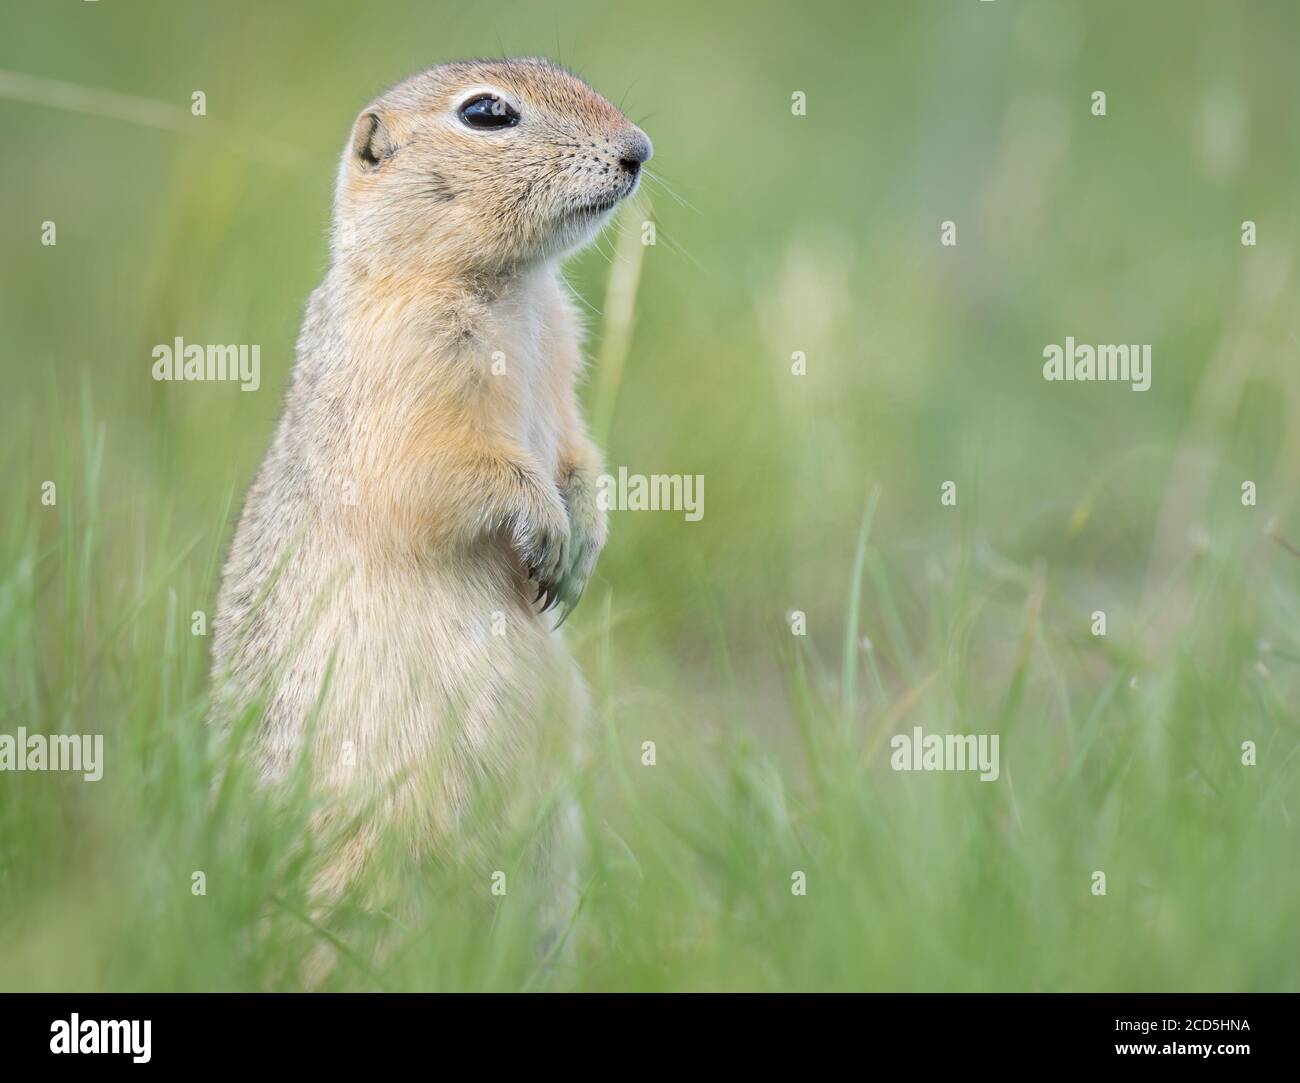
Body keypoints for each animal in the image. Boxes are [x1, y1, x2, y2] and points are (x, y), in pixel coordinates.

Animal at [210, 58, 651, 897]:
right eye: (486, 113)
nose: (639, 150)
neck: (513, 288)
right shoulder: (406, 367)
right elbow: (439, 466)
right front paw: (544, 525)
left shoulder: (561, 359)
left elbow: (578, 449)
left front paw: (581, 543)